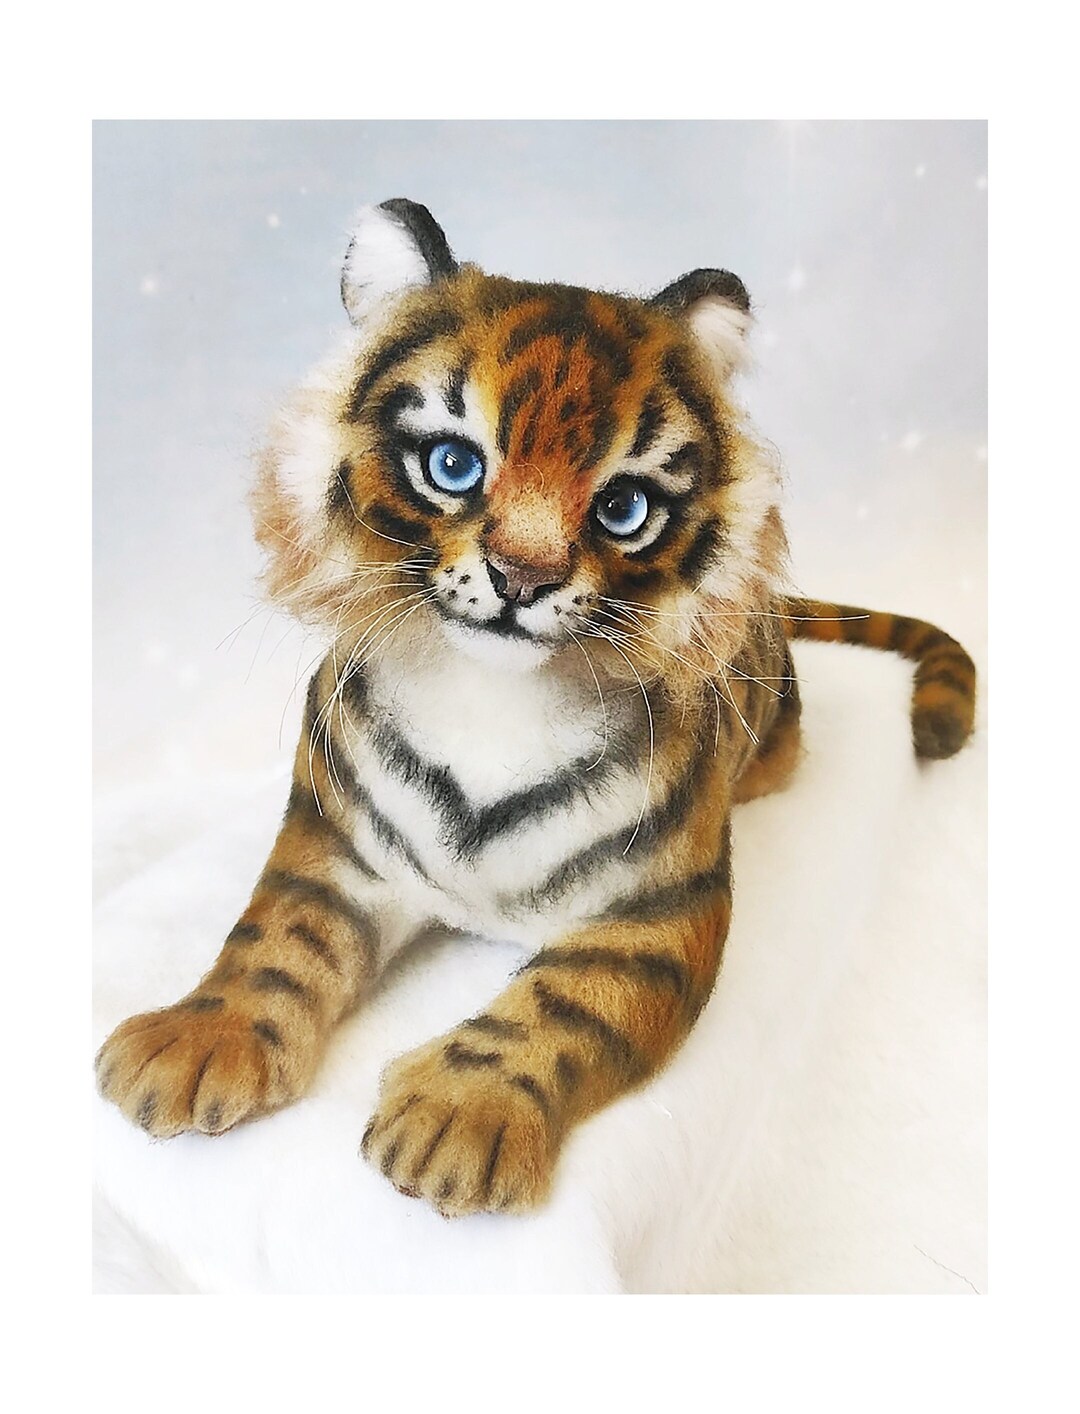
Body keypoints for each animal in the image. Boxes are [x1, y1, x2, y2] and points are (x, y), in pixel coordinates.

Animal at [95, 197, 977, 1217]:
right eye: (453, 463)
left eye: (624, 508)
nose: (523, 578)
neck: (491, 699)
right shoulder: (333, 843)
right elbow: (273, 938)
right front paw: (196, 1041)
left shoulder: (656, 910)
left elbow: (558, 1004)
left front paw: (455, 1120)